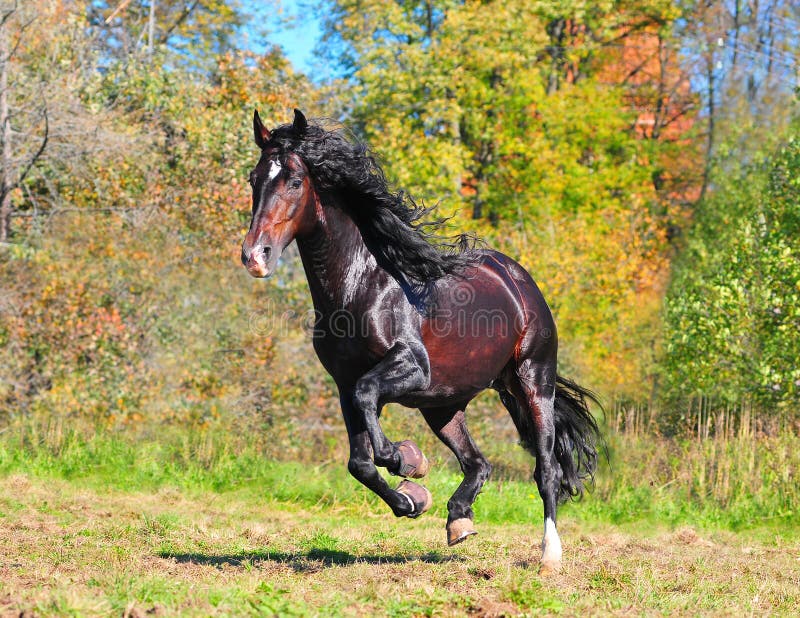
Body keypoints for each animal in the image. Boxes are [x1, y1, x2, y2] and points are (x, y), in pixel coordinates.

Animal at [241, 109, 602, 574]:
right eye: (254, 179)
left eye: (295, 181)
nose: (255, 256)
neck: (362, 284)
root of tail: (519, 280)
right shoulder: (344, 385)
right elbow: (359, 462)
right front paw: (413, 496)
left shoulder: (410, 367)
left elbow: (370, 408)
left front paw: (408, 460)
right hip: (443, 405)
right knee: (479, 463)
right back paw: (459, 520)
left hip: (532, 384)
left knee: (546, 470)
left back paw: (549, 554)